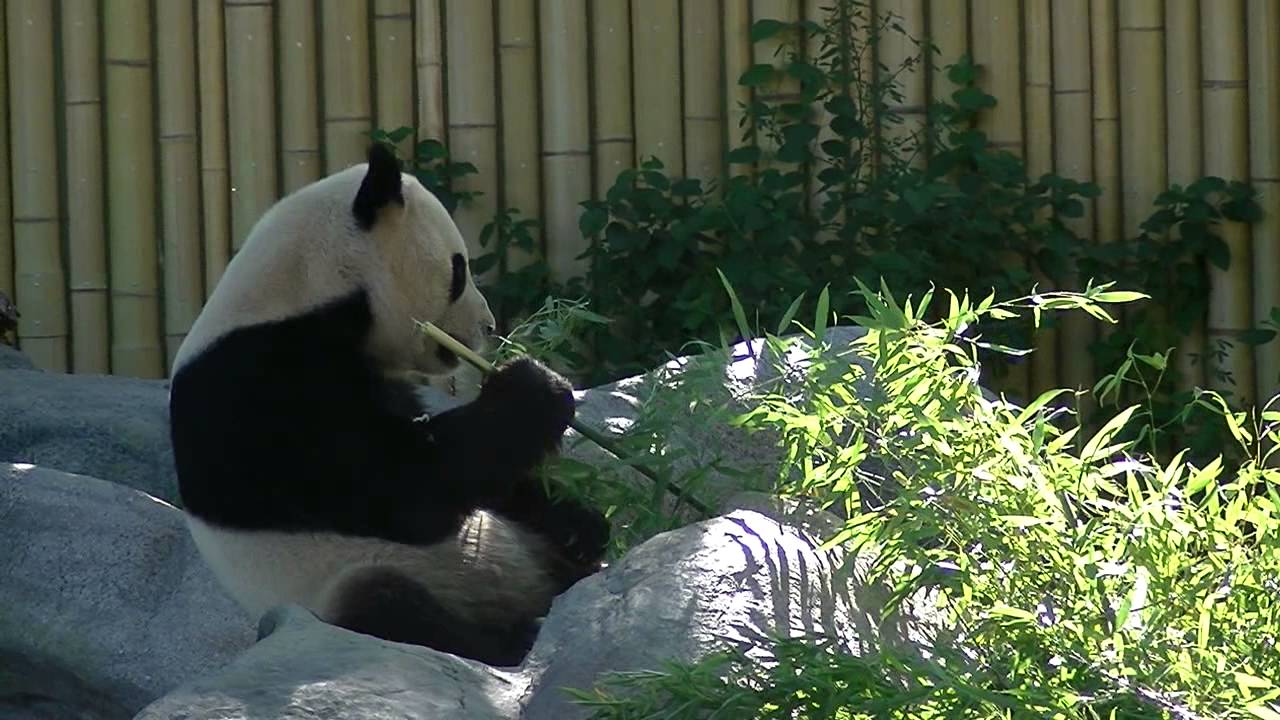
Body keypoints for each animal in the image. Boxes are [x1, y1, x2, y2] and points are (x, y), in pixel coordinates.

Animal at [167, 142, 610, 667]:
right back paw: (514, 638)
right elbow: (403, 488)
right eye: (458, 270)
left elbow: (483, 474)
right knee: (389, 605)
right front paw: (536, 388)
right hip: (340, 586)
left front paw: (582, 520)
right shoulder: (253, 391)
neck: (303, 293)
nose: (489, 326)